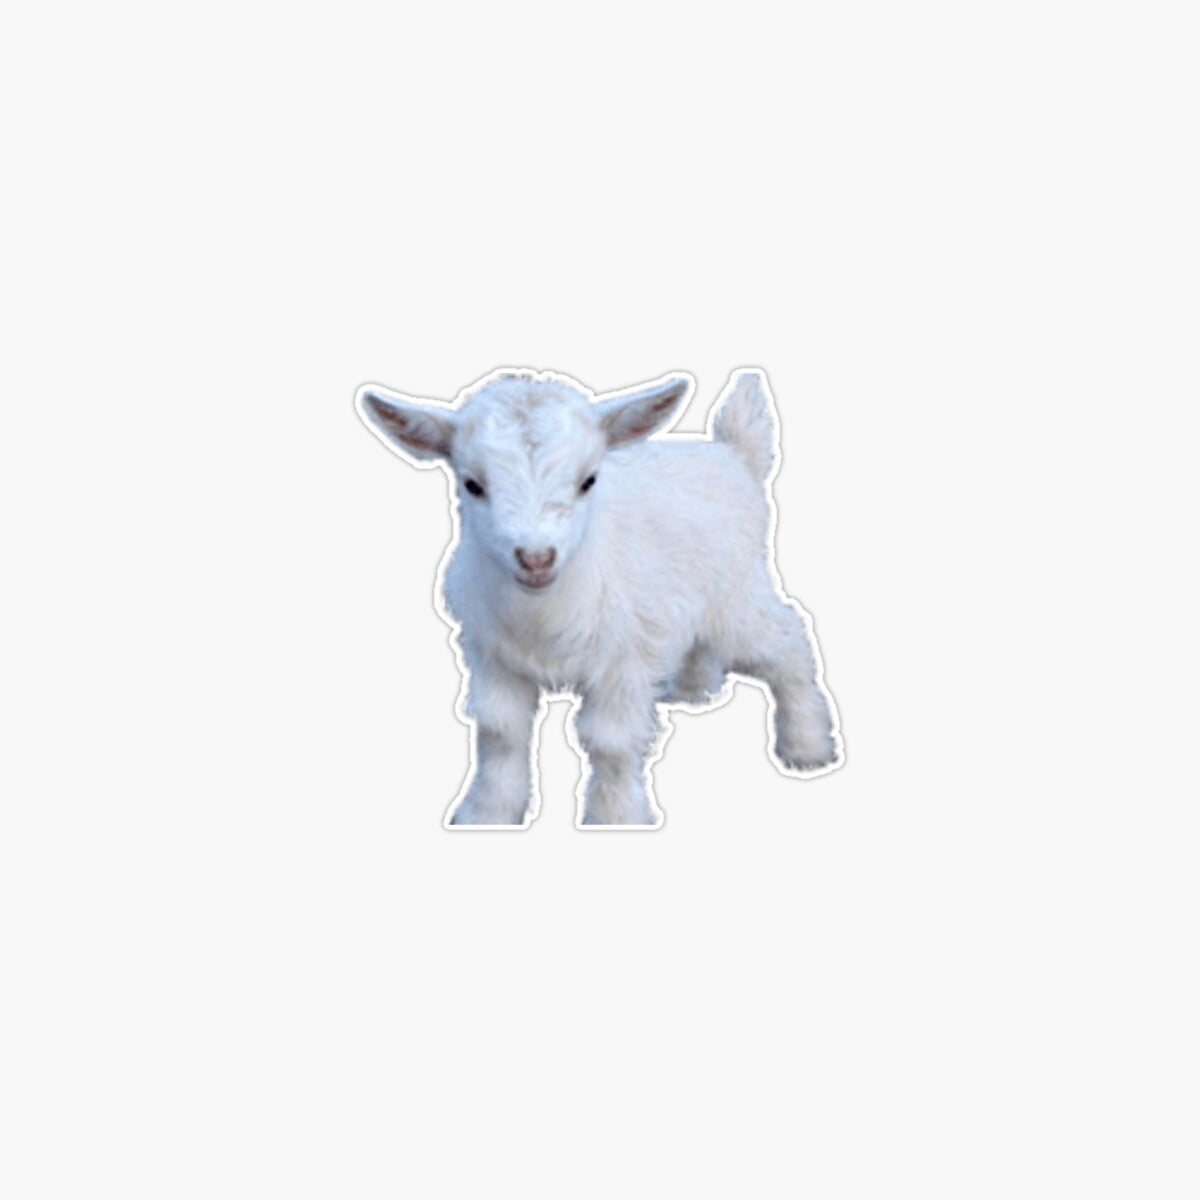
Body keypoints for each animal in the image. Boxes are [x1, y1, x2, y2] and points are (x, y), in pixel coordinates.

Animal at [356, 368, 843, 828]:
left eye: (588, 480)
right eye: (472, 484)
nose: (536, 559)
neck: (543, 615)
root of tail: (733, 455)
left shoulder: (624, 659)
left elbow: (610, 742)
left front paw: (615, 818)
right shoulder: (494, 657)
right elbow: (501, 733)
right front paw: (487, 814)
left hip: (737, 593)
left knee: (786, 641)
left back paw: (807, 747)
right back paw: (693, 690)